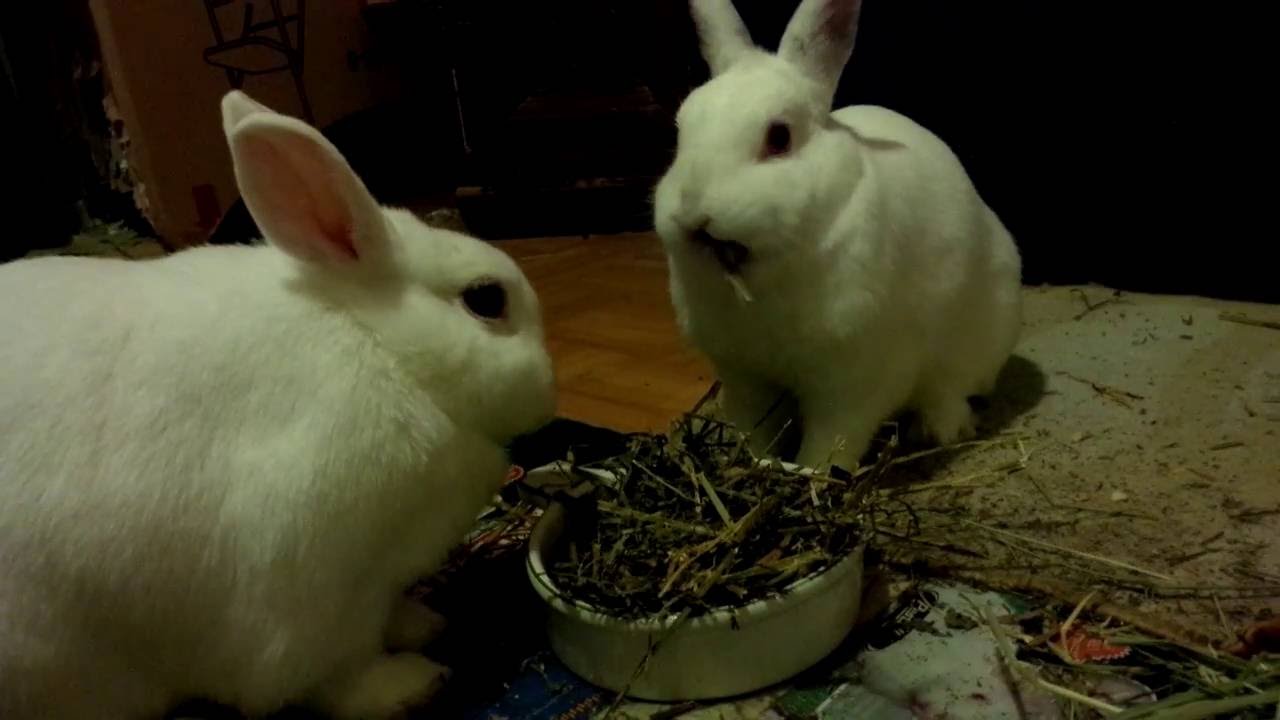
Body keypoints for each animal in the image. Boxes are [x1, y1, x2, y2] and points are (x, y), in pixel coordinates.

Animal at [0, 90, 555, 720]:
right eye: (486, 299)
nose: (548, 390)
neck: (381, 345)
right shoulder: (307, 592)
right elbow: (337, 670)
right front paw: (409, 684)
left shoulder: (376, 582)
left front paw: (423, 622)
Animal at [654, 0, 1023, 471]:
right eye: (680, 131)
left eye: (779, 137)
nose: (692, 216)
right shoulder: (745, 379)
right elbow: (755, 430)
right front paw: (753, 463)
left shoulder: (855, 383)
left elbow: (833, 441)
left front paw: (812, 473)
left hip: (976, 341)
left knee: (951, 391)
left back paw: (937, 430)